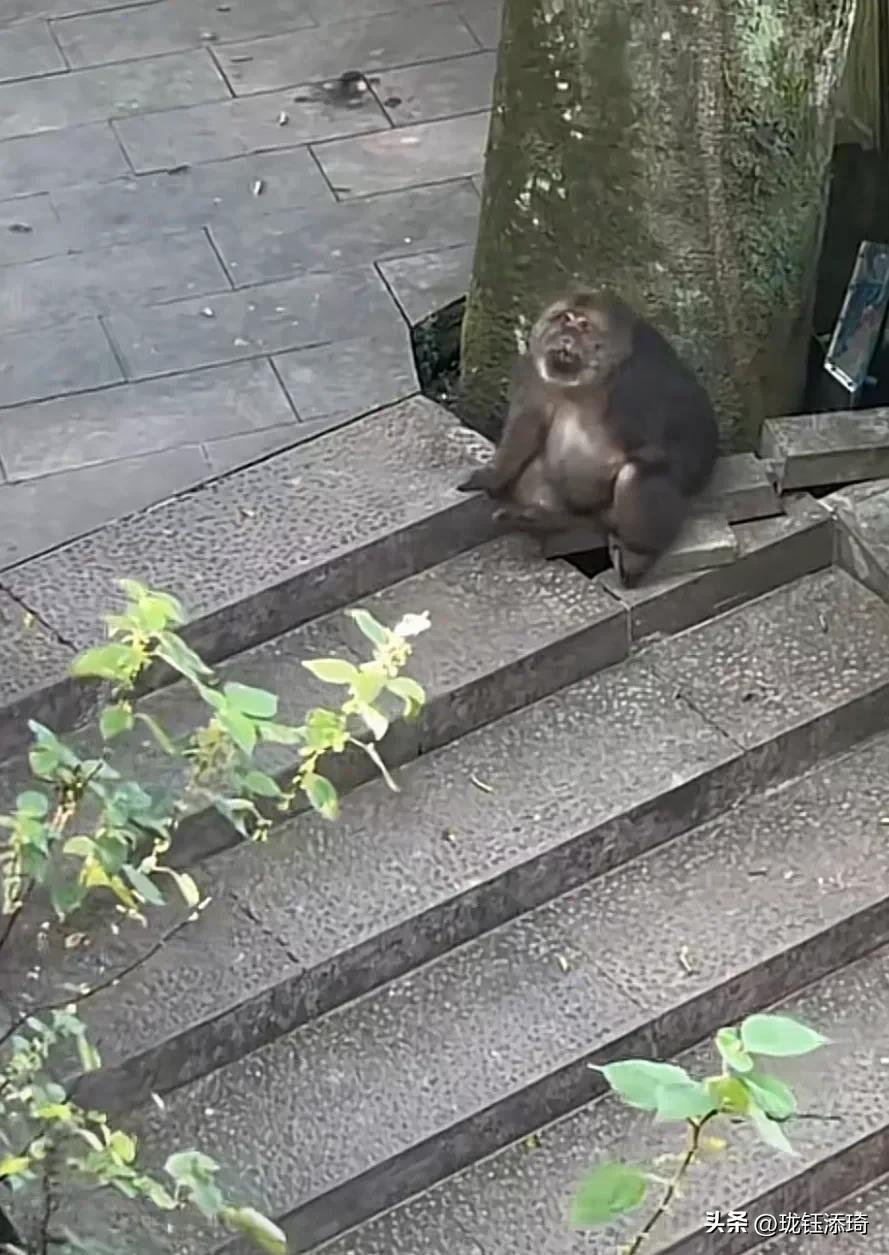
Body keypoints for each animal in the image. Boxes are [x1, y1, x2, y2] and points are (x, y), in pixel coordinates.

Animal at [457, 291, 719, 586]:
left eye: (583, 326)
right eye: (564, 319)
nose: (566, 337)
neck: (585, 384)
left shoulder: (637, 381)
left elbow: (687, 439)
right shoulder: (532, 372)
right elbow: (525, 425)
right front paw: (492, 476)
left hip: (614, 513)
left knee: (637, 472)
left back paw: (638, 552)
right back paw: (543, 518)